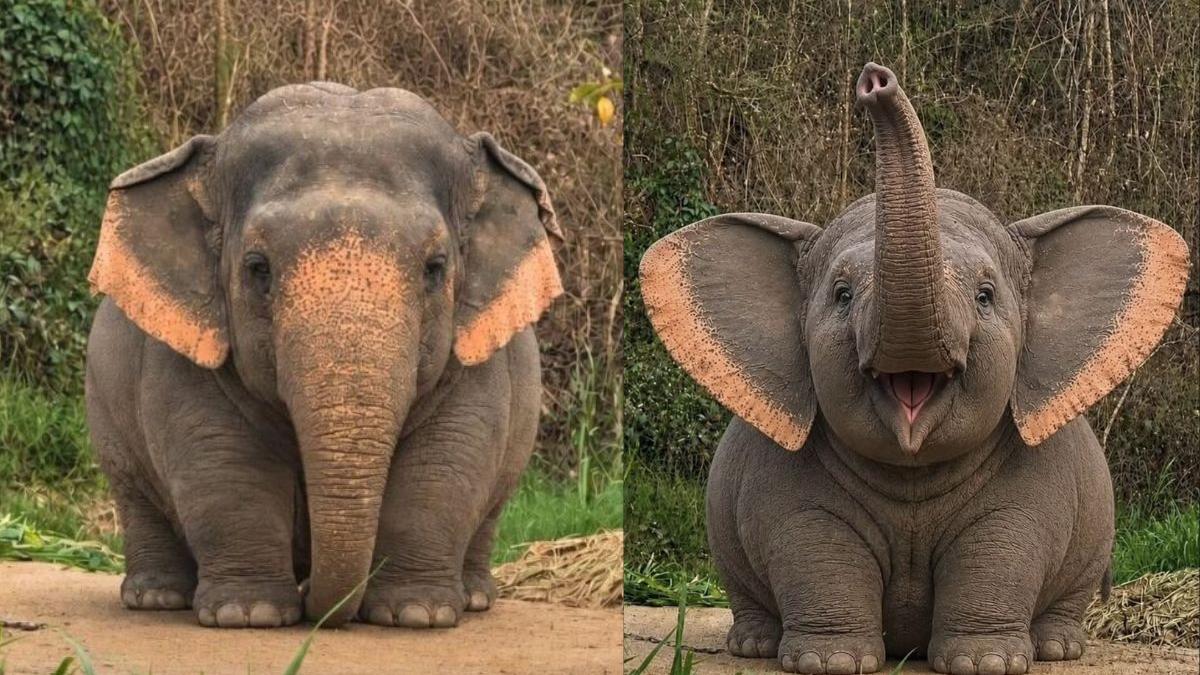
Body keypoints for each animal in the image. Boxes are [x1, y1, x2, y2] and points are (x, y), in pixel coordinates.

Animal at [84, 82, 563, 629]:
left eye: (436, 267)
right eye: (258, 268)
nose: (318, 601)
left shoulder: (474, 352)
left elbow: (446, 459)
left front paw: (417, 614)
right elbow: (223, 460)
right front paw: (247, 614)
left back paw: (476, 598)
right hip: (104, 409)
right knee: (134, 492)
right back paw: (157, 598)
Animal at [639, 63, 1189, 674]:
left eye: (986, 295)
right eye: (842, 294)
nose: (875, 80)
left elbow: (1002, 543)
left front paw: (986, 663)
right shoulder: (786, 492)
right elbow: (812, 541)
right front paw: (830, 662)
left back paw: (1058, 648)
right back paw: (754, 646)